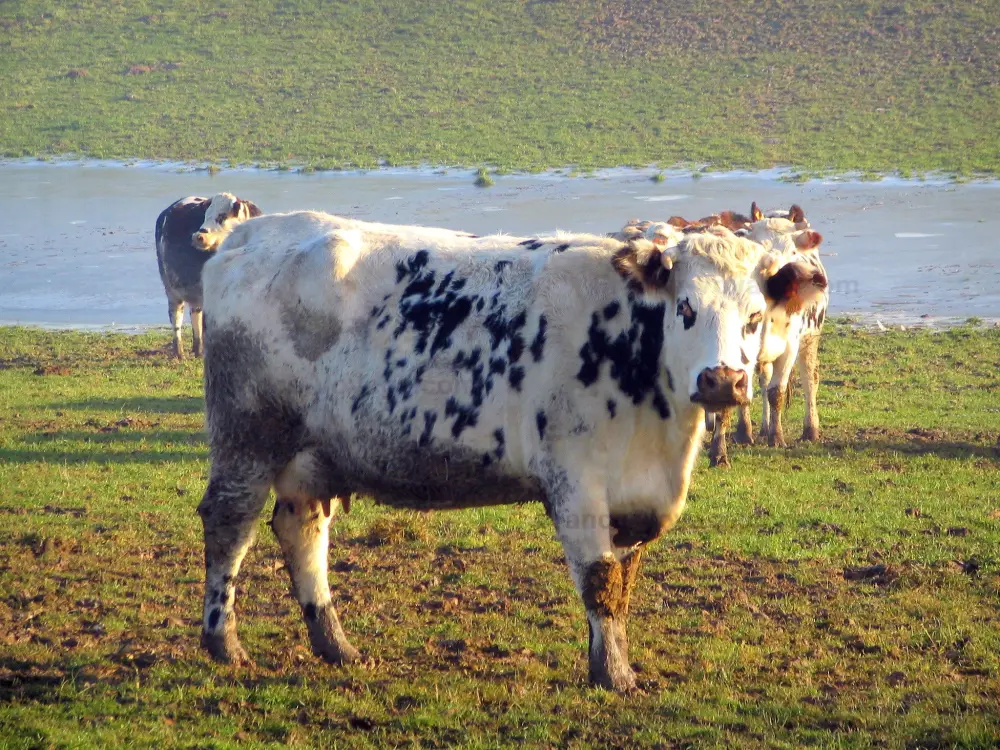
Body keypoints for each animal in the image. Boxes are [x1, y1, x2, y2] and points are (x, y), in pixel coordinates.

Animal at [154, 193, 262, 358]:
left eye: (222, 216)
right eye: (205, 215)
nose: (198, 236)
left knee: (195, 316)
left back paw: (198, 350)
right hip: (171, 289)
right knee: (176, 317)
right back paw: (180, 353)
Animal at [195, 211, 823, 692]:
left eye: (755, 316)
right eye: (685, 308)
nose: (722, 381)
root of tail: (254, 233)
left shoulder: (637, 497)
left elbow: (622, 583)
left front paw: (609, 661)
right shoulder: (576, 483)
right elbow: (600, 582)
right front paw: (614, 677)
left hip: (309, 453)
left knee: (301, 530)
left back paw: (335, 644)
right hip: (247, 437)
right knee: (229, 524)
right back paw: (224, 642)